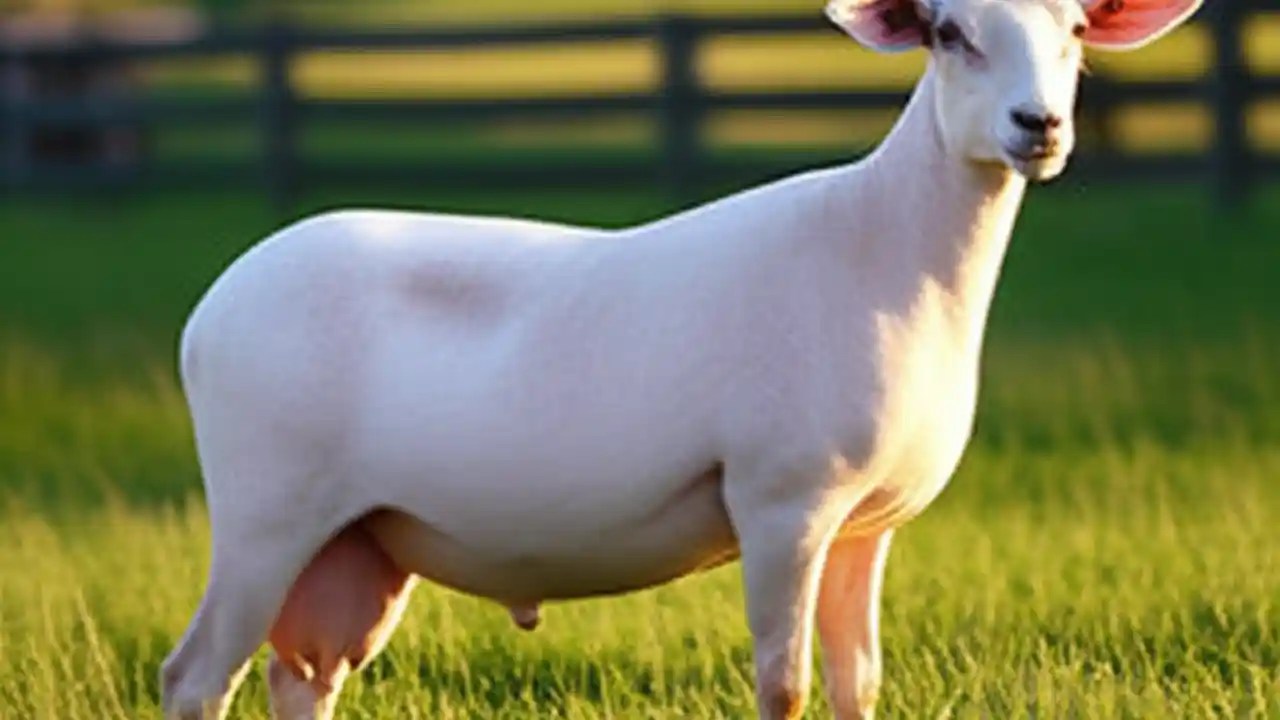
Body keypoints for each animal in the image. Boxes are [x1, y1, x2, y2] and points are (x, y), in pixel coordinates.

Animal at [160, 0, 1202, 717]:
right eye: (949, 33)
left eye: (1077, 27)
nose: (1040, 127)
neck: (885, 249)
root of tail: (207, 311)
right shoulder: (783, 499)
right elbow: (783, 687)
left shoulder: (868, 521)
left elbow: (857, 684)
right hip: (264, 509)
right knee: (195, 676)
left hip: (356, 542)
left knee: (302, 676)